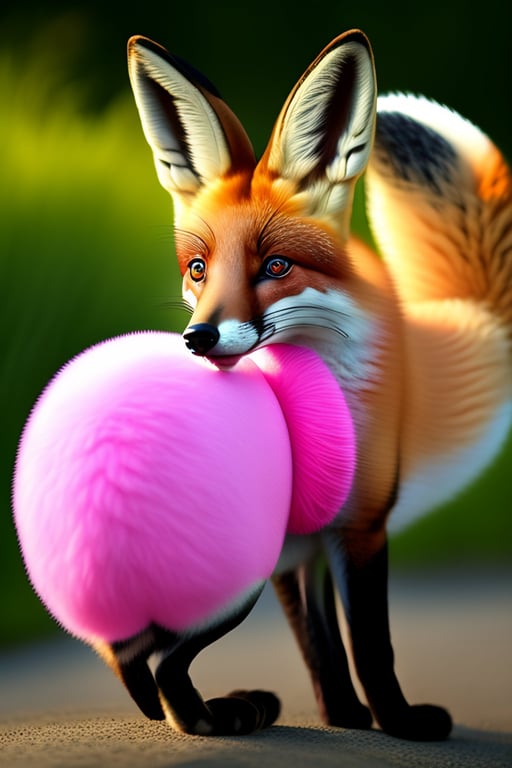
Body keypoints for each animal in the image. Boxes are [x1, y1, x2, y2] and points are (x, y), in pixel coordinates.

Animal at [122, 29, 512, 740]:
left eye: (276, 266)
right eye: (198, 268)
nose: (198, 339)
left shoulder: (351, 528)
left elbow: (354, 642)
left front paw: (362, 718)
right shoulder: (296, 547)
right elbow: (333, 642)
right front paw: (382, 720)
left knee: (140, 650)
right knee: (147, 654)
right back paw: (206, 717)